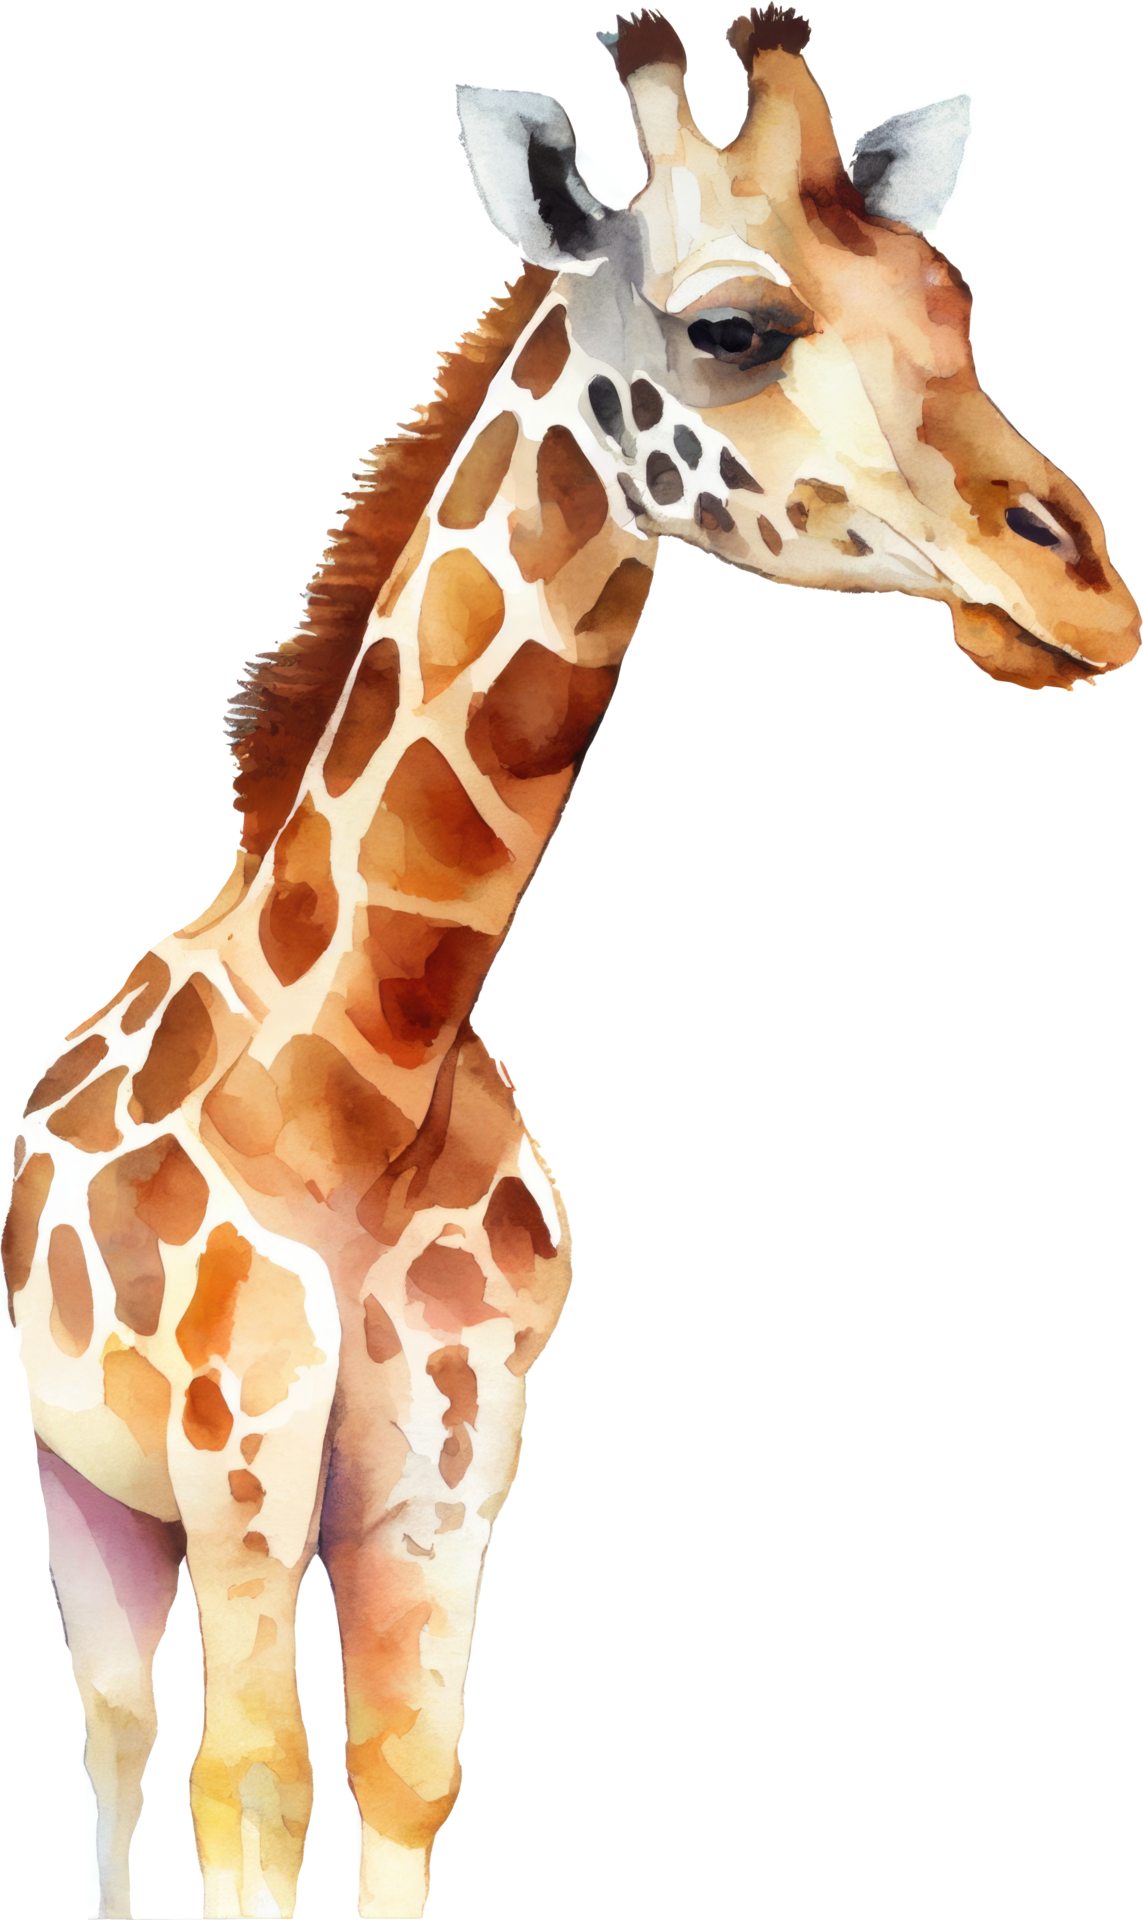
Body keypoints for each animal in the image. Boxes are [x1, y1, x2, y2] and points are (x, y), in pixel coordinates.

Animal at [3, 6, 1140, 1918]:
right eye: (731, 328)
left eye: (955, 301)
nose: (1085, 597)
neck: (369, 1069)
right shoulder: (236, 1457)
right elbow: (249, 1786)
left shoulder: (451, 1471)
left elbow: (404, 1774)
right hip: (86, 1477)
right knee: (114, 1738)